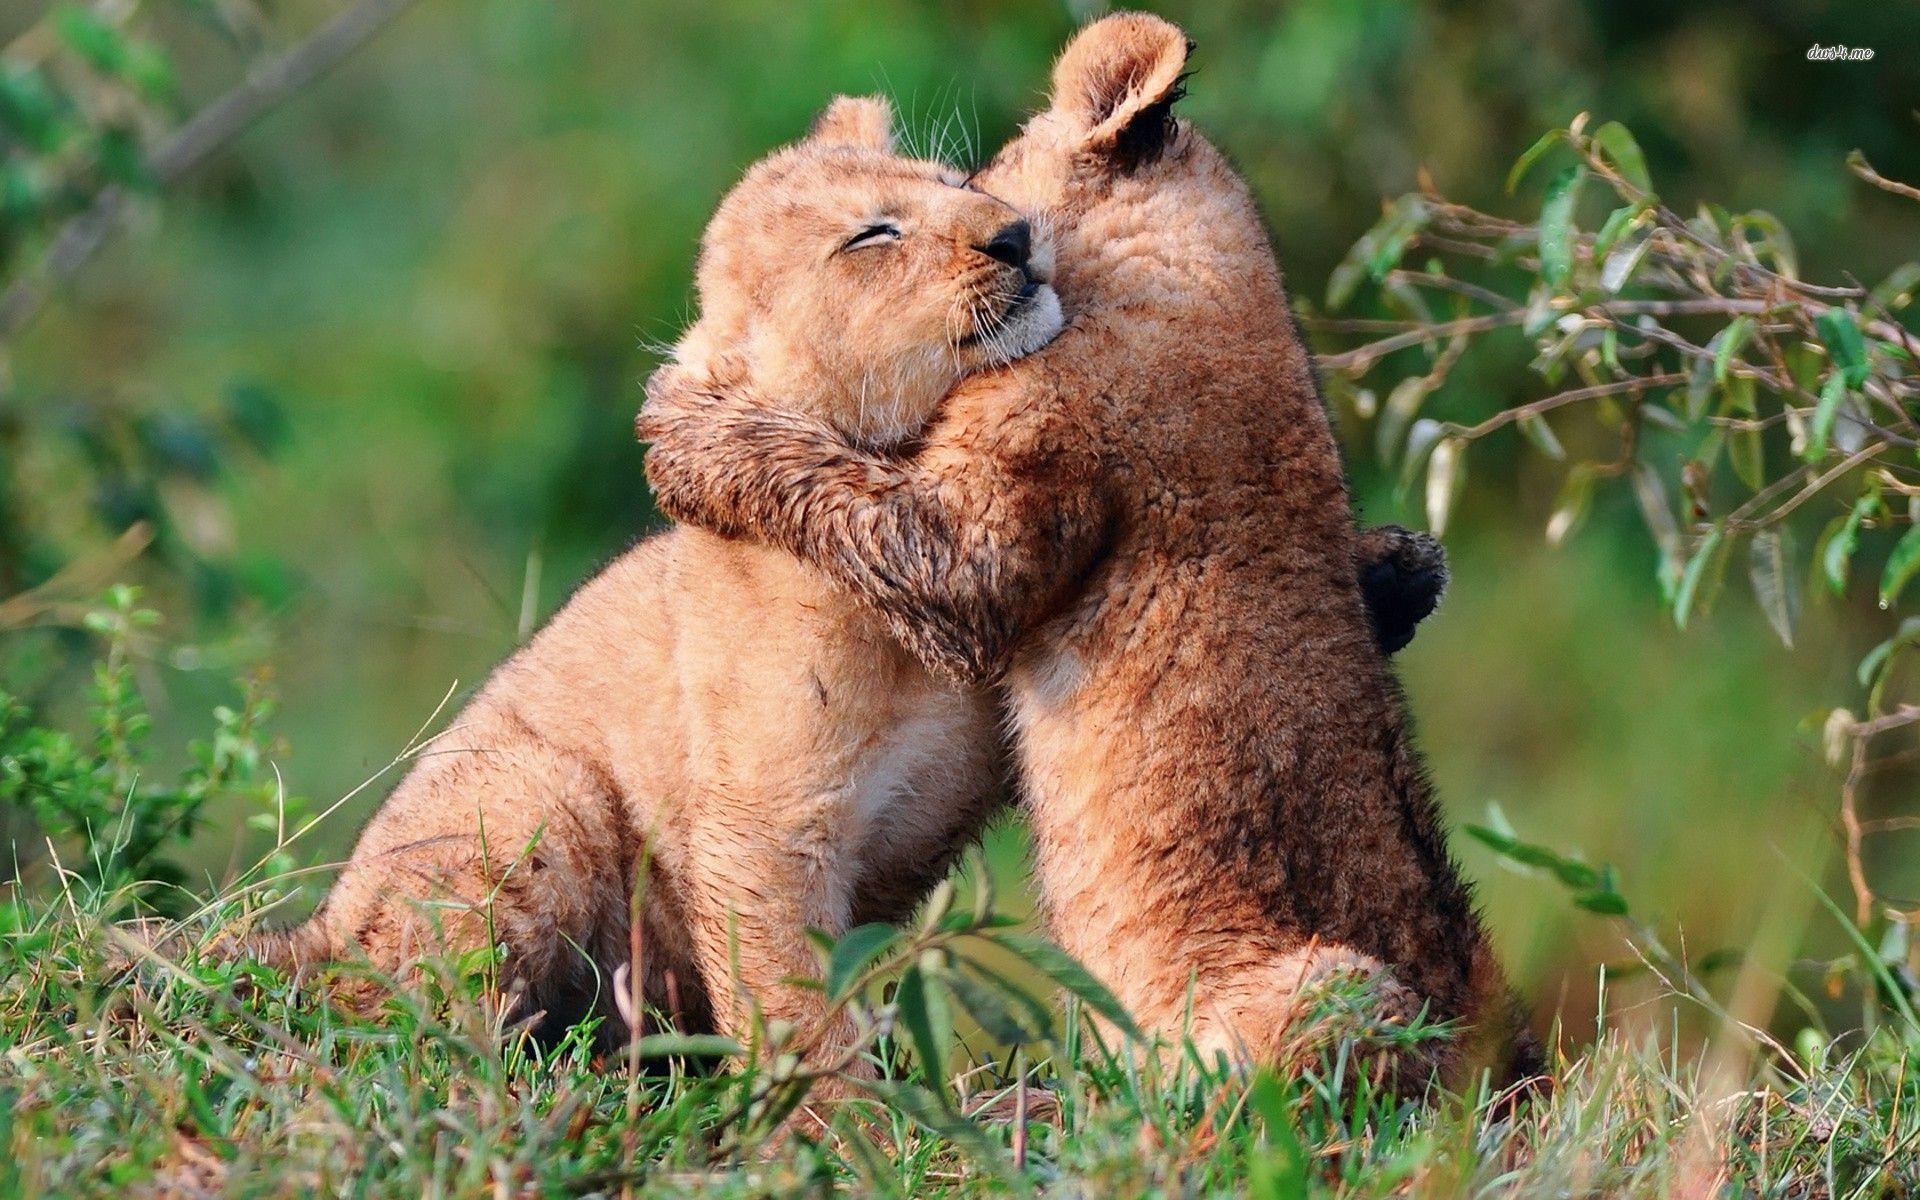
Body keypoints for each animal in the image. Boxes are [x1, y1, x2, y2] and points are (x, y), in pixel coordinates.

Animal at [209, 95, 1447, 1076]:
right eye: (872, 235)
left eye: (956, 183)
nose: (1015, 233)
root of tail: (315, 929)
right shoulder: (766, 828)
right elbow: (792, 1007)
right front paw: (848, 1129)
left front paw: (1395, 567)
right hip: (533, 796)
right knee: (411, 1025)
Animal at [640, 14, 1536, 1087]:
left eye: (969, 177)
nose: (1008, 236)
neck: (1209, 264)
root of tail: (1505, 1081)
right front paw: (1398, 568)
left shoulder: (980, 535)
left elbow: (831, 485)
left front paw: (681, 428)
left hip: (1339, 988)